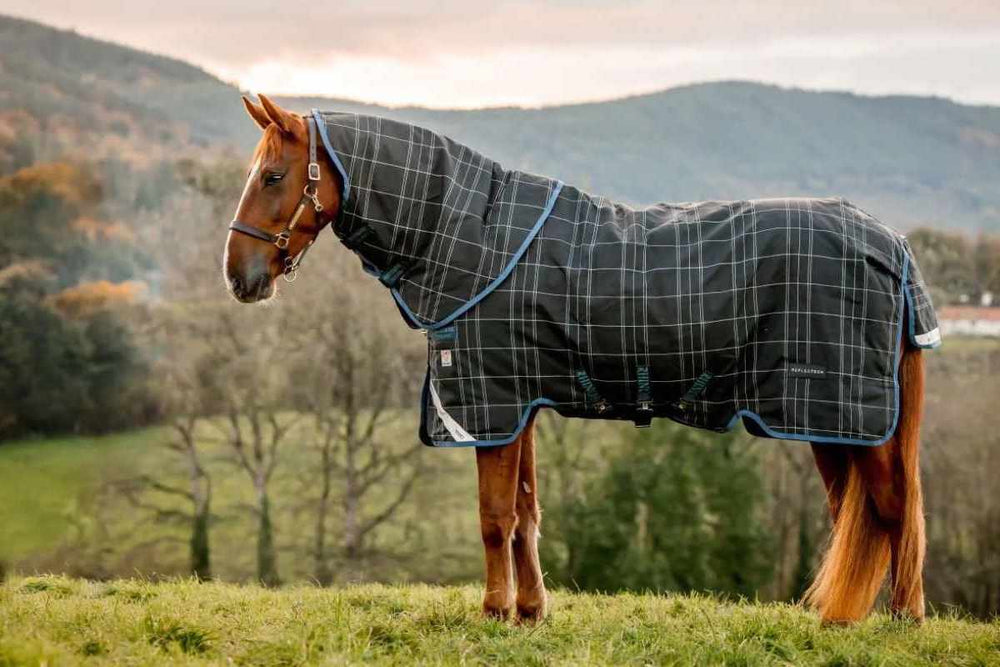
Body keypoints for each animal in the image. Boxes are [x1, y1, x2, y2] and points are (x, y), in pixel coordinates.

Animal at [224, 93, 928, 625]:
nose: (238, 277)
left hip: (843, 412)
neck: (476, 240)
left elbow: (494, 517)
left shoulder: (491, 404)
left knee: (893, 506)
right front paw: (531, 612)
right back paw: (841, 619)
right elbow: (526, 515)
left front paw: (493, 612)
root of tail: (891, 242)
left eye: (274, 176)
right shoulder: (521, 404)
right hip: (827, 421)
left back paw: (904, 621)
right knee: (854, 513)